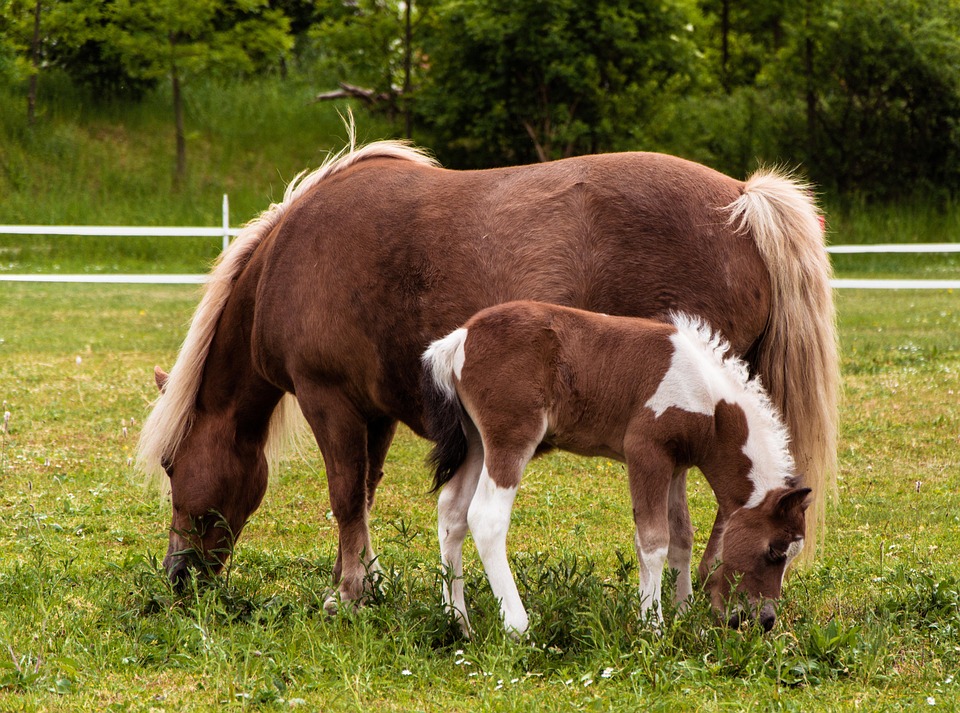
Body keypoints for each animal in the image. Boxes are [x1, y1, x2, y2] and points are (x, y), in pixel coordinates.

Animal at [421, 301, 810, 635]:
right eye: (775, 551)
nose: (764, 620)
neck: (706, 398)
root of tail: (459, 339)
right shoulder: (646, 453)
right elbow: (654, 541)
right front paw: (653, 627)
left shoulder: (677, 466)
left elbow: (682, 536)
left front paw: (683, 615)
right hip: (511, 436)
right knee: (486, 516)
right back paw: (518, 626)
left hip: (476, 440)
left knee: (452, 510)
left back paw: (459, 622)